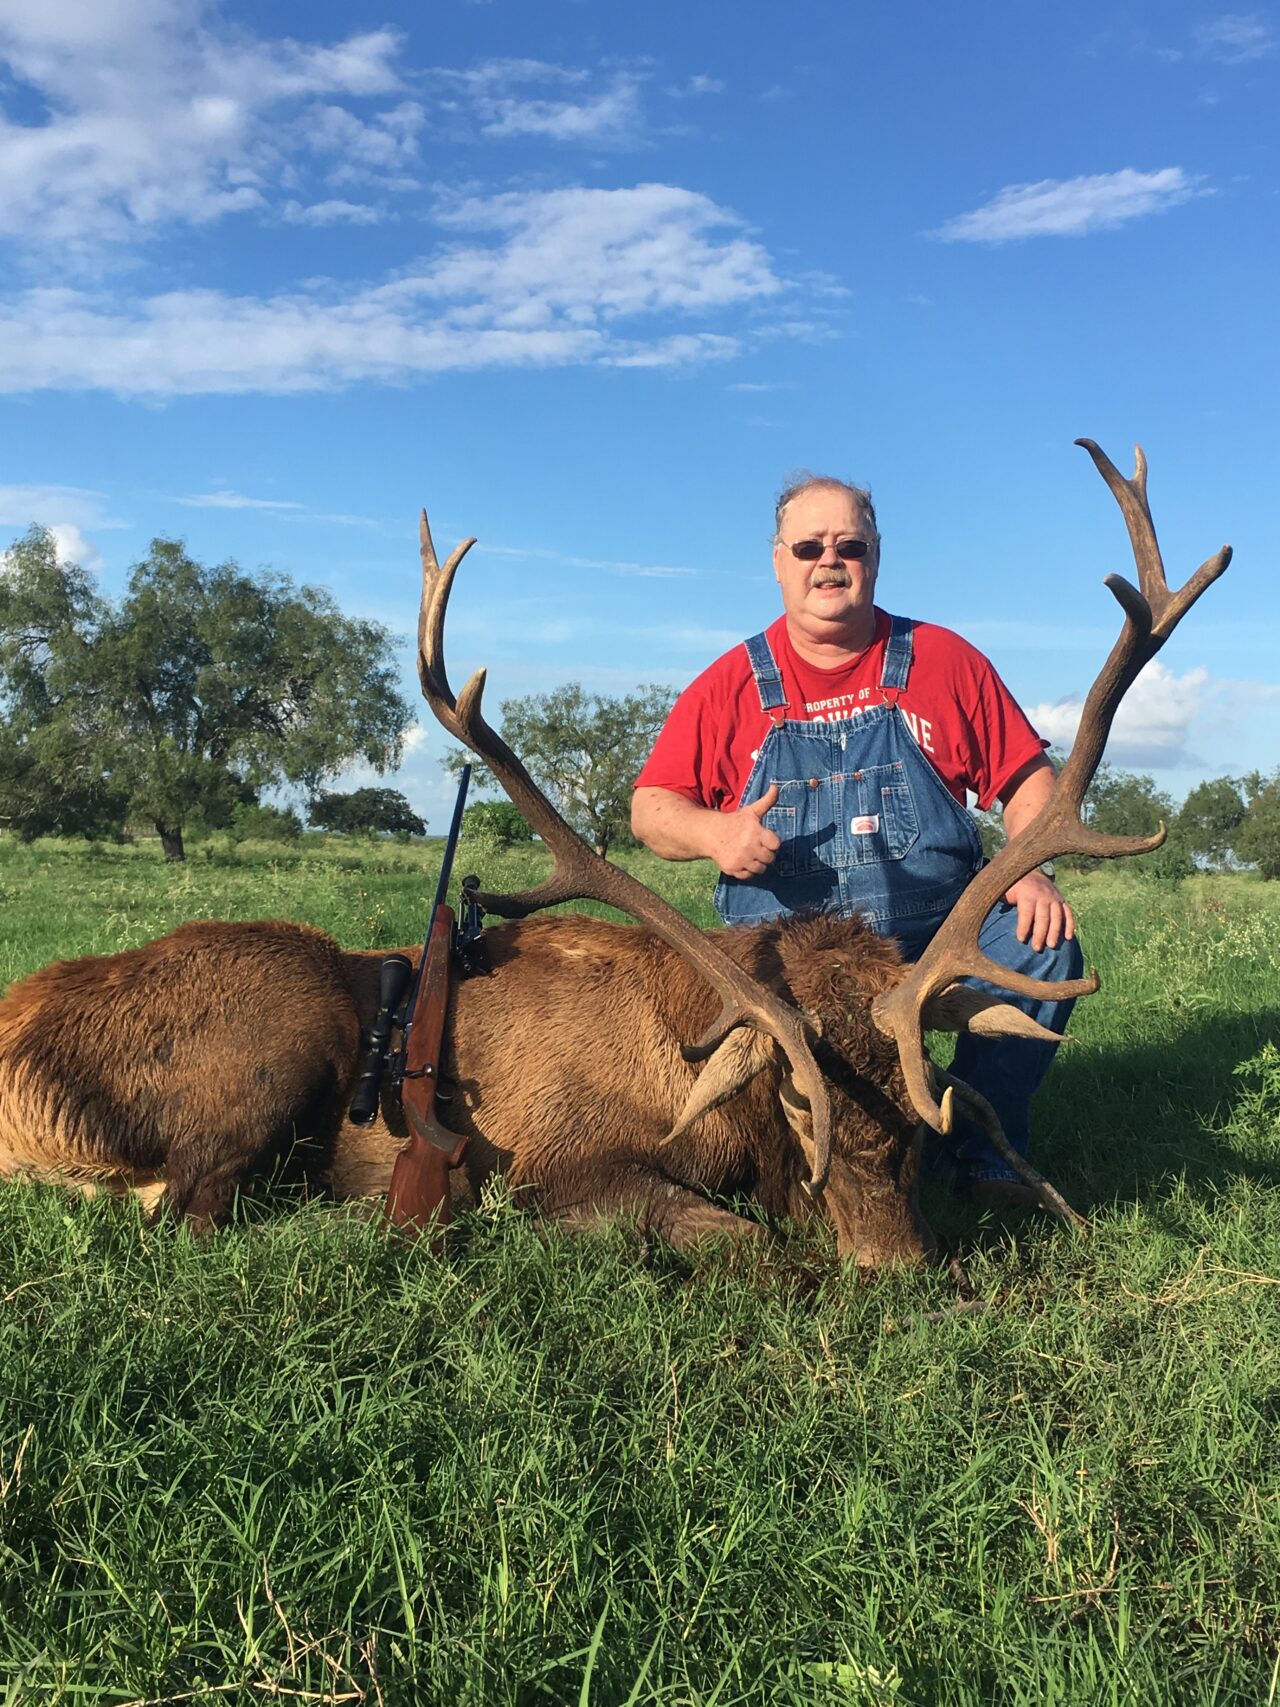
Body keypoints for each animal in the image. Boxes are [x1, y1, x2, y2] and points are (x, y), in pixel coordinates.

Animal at [0, 443, 1230, 1269]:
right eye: (798, 1105)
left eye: (922, 1110)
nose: (896, 1264)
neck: (687, 1077)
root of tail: (18, 1057)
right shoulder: (547, 1163)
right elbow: (735, 1240)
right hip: (272, 1041)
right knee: (182, 1209)